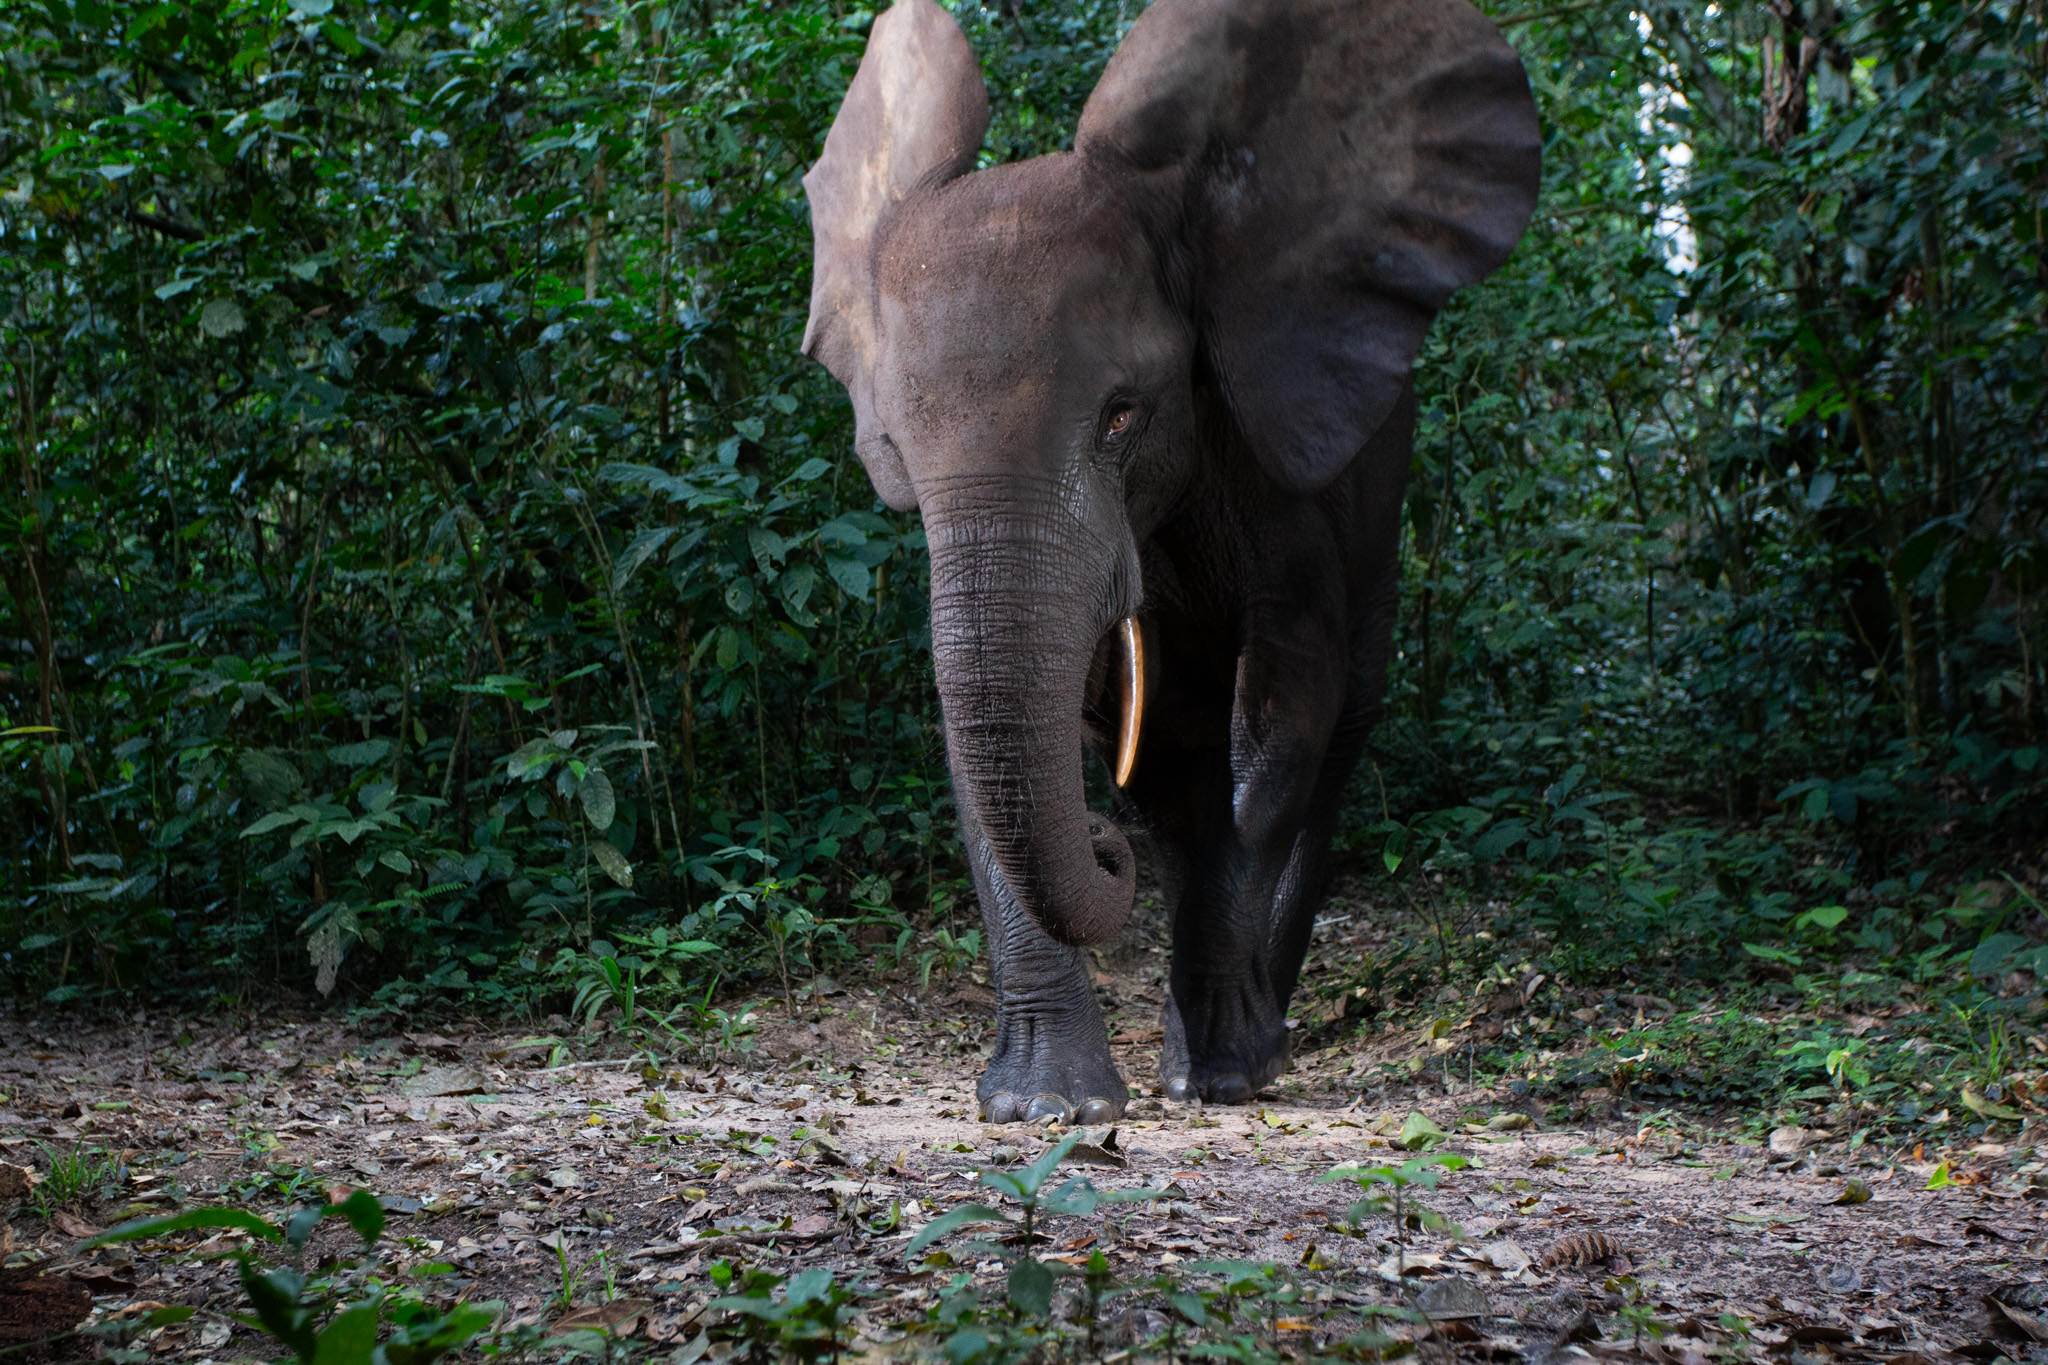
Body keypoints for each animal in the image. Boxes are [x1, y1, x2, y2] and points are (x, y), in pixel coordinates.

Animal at [800, 0, 1539, 1120]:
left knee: (1335, 731)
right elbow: (977, 733)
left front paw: (1220, 1075)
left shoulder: (1272, 465)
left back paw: (1248, 1041)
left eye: (1122, 415)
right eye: (894, 444)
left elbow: (1282, 712)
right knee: (1170, 774)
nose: (1105, 859)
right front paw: (1045, 1109)